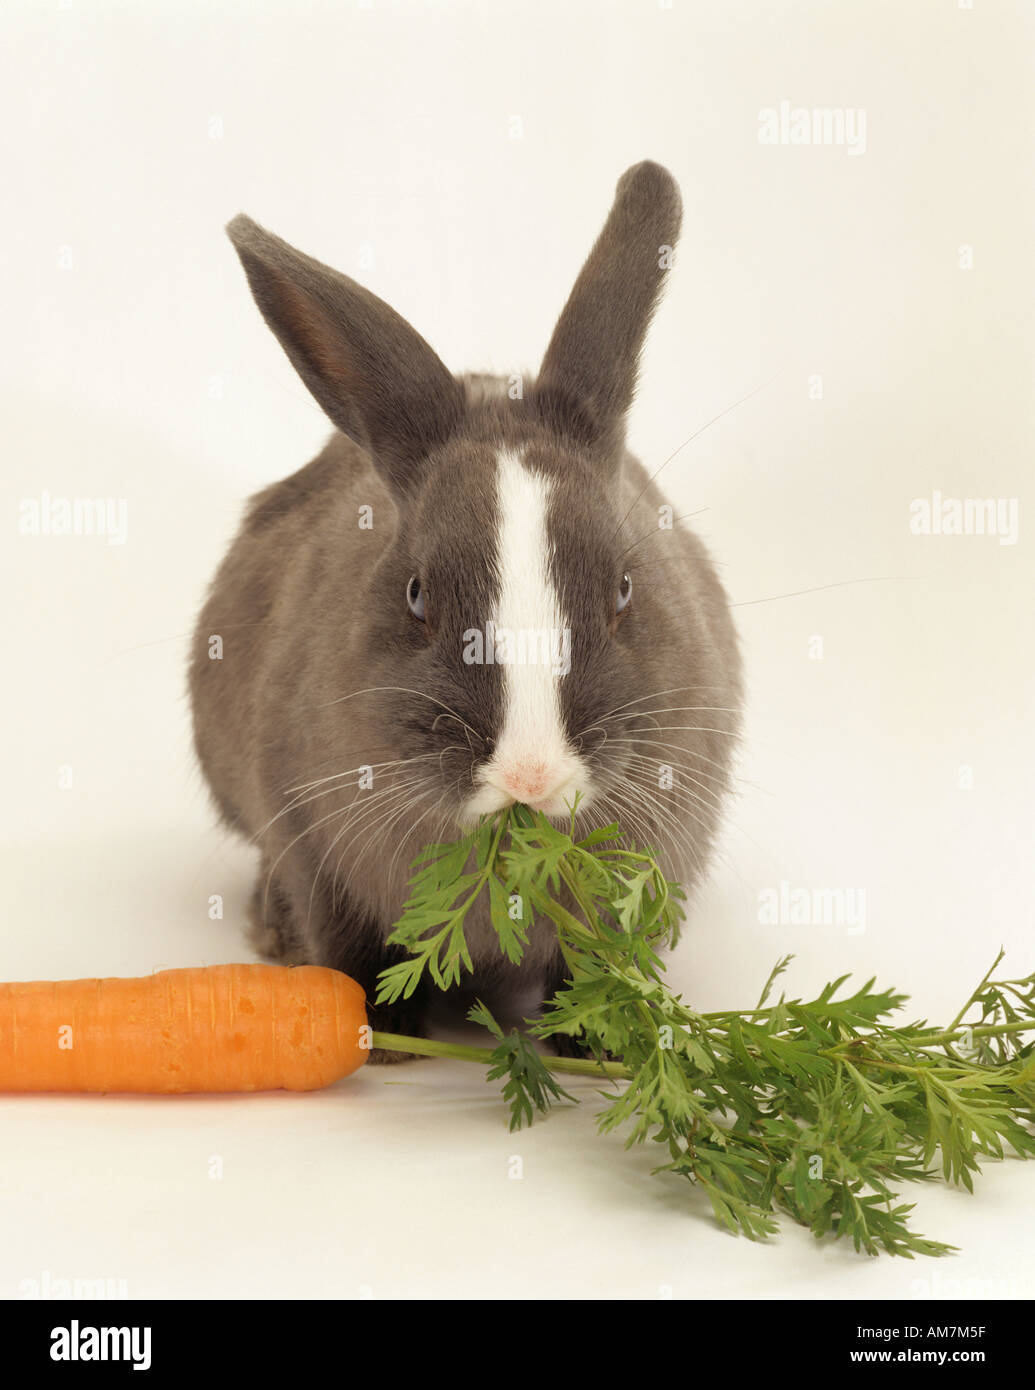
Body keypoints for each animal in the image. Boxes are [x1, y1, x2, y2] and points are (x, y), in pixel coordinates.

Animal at [189, 161, 743, 1061]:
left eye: (626, 588)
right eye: (416, 594)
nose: (530, 774)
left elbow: (594, 966)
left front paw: (593, 1045)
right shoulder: (309, 840)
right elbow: (348, 948)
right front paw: (385, 1031)